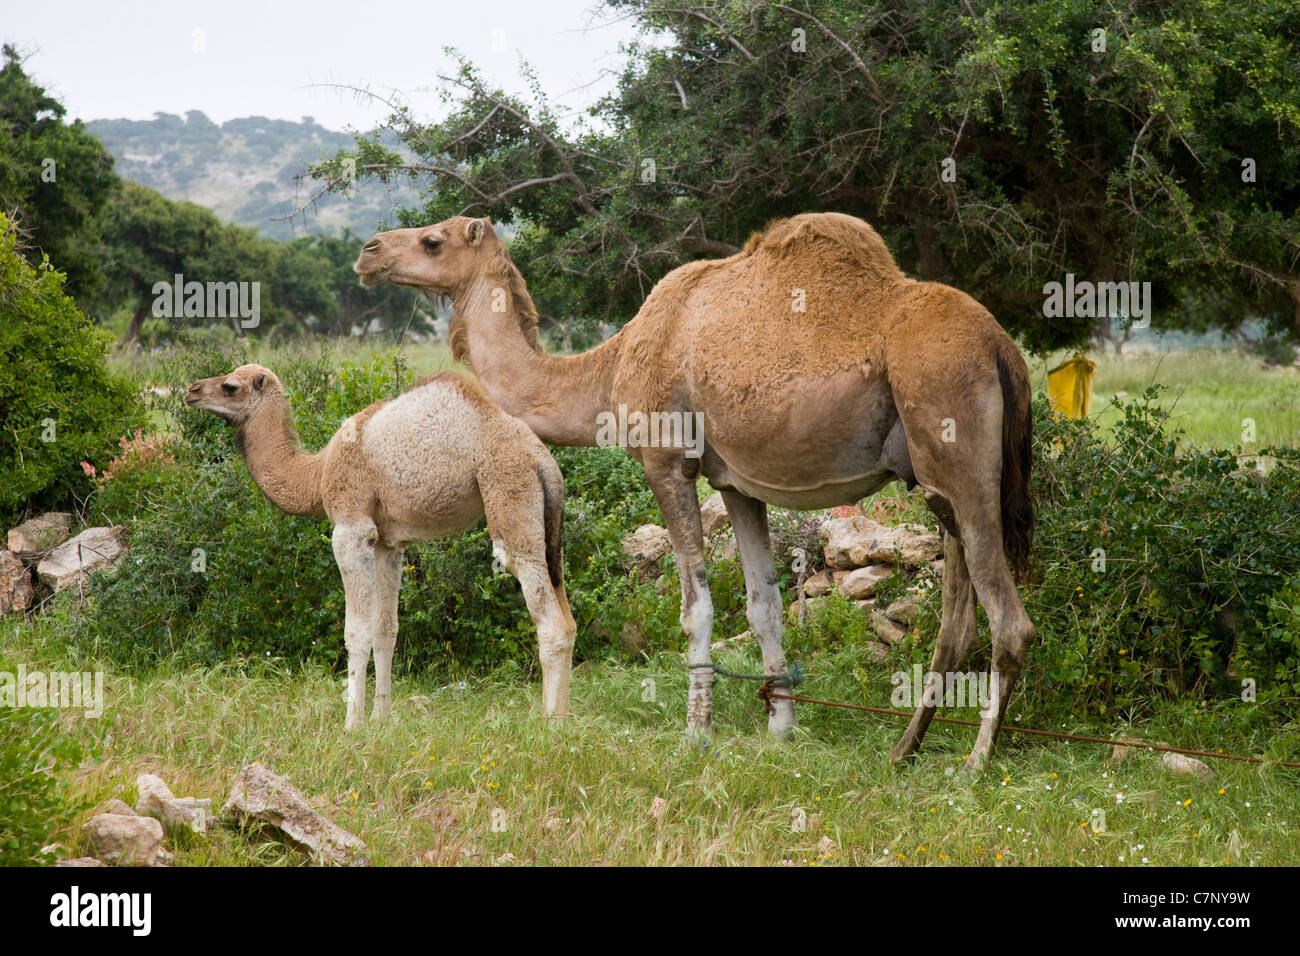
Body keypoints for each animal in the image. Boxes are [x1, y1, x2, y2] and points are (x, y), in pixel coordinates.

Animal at [184, 363, 576, 731]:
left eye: (230, 386)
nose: (191, 391)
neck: (318, 473)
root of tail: (543, 461)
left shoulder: (351, 528)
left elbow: (355, 631)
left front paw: (351, 724)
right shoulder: (388, 543)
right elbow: (385, 628)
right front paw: (380, 718)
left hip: (509, 494)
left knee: (549, 620)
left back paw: (549, 724)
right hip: (548, 529)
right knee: (568, 618)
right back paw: (563, 717)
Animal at [354, 212, 1035, 771]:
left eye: (433, 239)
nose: (368, 250)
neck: (612, 365)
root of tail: (1003, 348)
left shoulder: (667, 462)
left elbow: (697, 607)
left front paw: (696, 733)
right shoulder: (738, 483)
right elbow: (763, 605)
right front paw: (780, 731)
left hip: (958, 453)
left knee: (1010, 621)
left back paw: (974, 763)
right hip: (937, 484)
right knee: (956, 621)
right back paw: (904, 749)